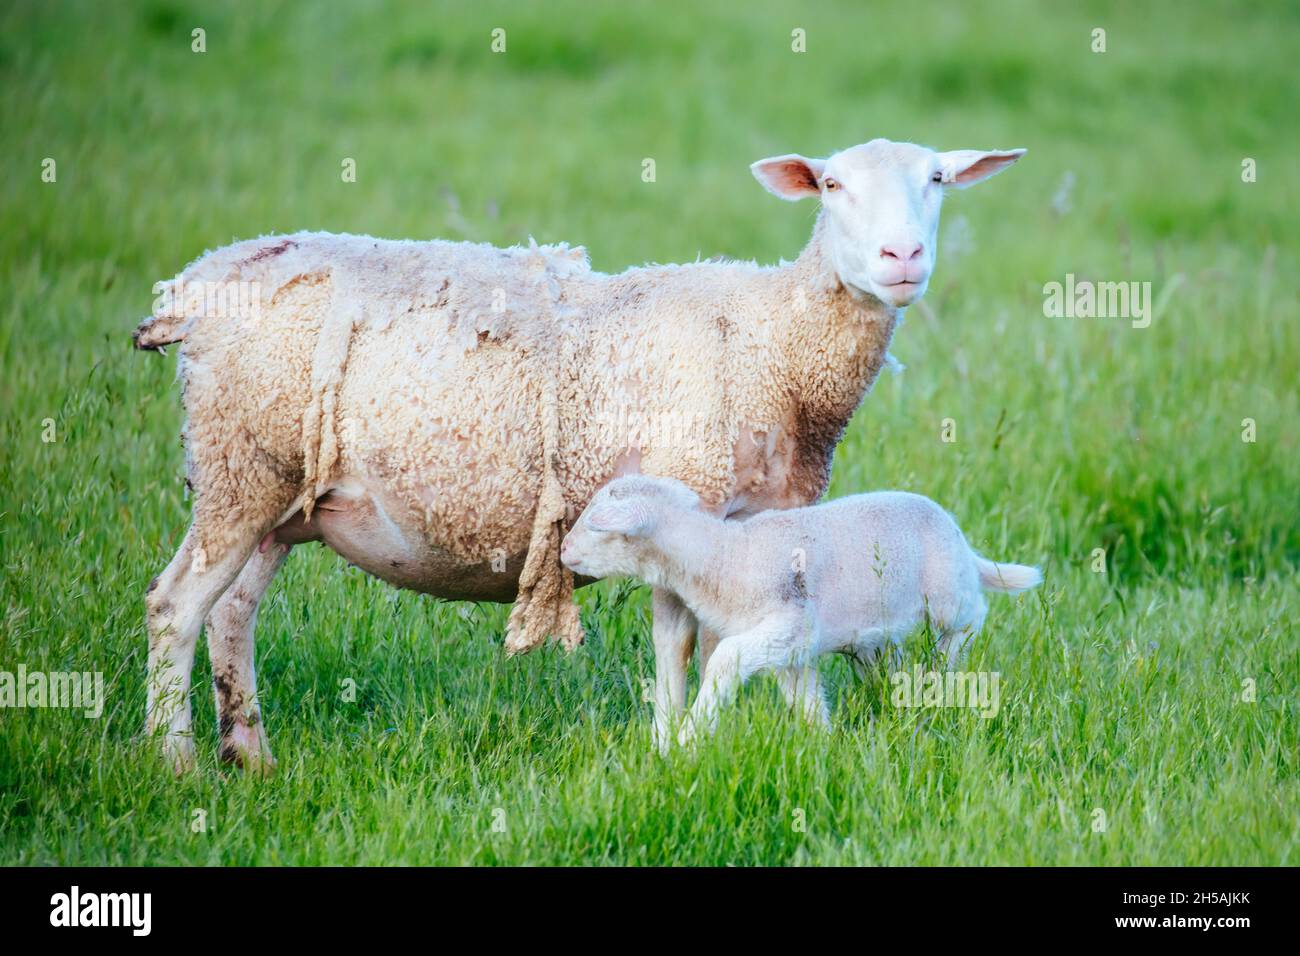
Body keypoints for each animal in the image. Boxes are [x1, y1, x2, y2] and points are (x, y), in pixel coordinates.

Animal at [559, 474, 1042, 744]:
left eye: (595, 524)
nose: (562, 549)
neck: (724, 556)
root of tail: (961, 539)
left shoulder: (789, 624)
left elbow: (724, 659)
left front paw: (690, 735)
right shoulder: (789, 650)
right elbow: (806, 702)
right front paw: (824, 746)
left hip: (947, 595)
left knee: (972, 616)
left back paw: (946, 660)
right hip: (880, 632)